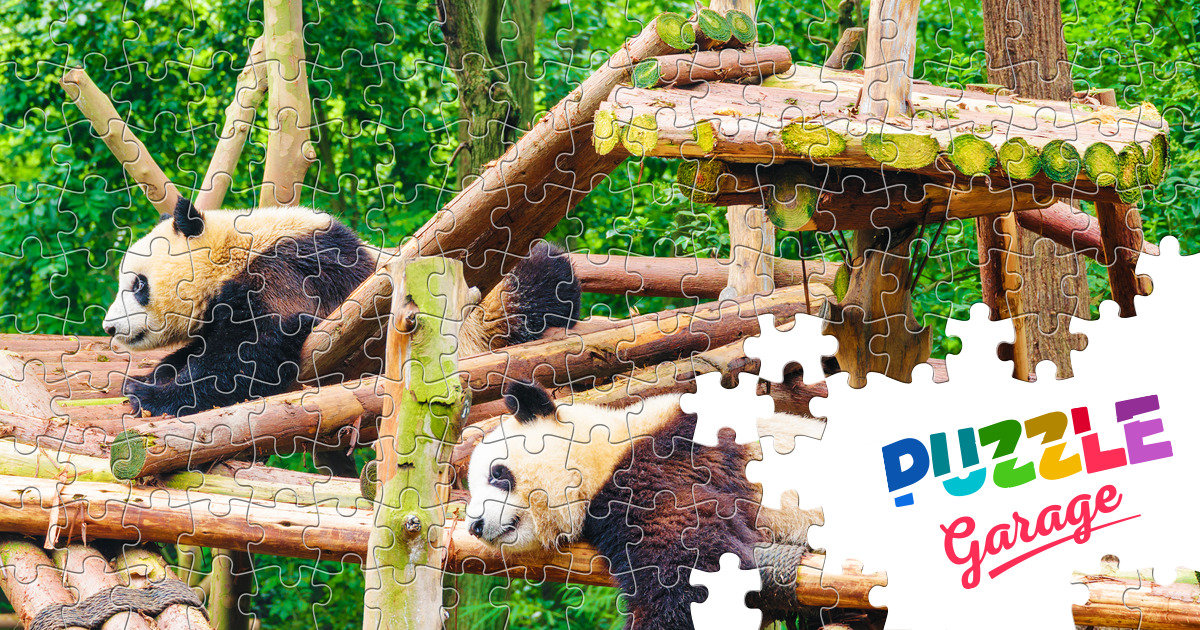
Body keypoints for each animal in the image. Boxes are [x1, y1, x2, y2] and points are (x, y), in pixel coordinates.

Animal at [102, 198, 580, 417]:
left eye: (137, 284)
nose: (109, 327)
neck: (233, 249)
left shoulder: (288, 269)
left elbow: (248, 355)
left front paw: (151, 395)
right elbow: (200, 348)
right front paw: (155, 374)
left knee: (543, 273)